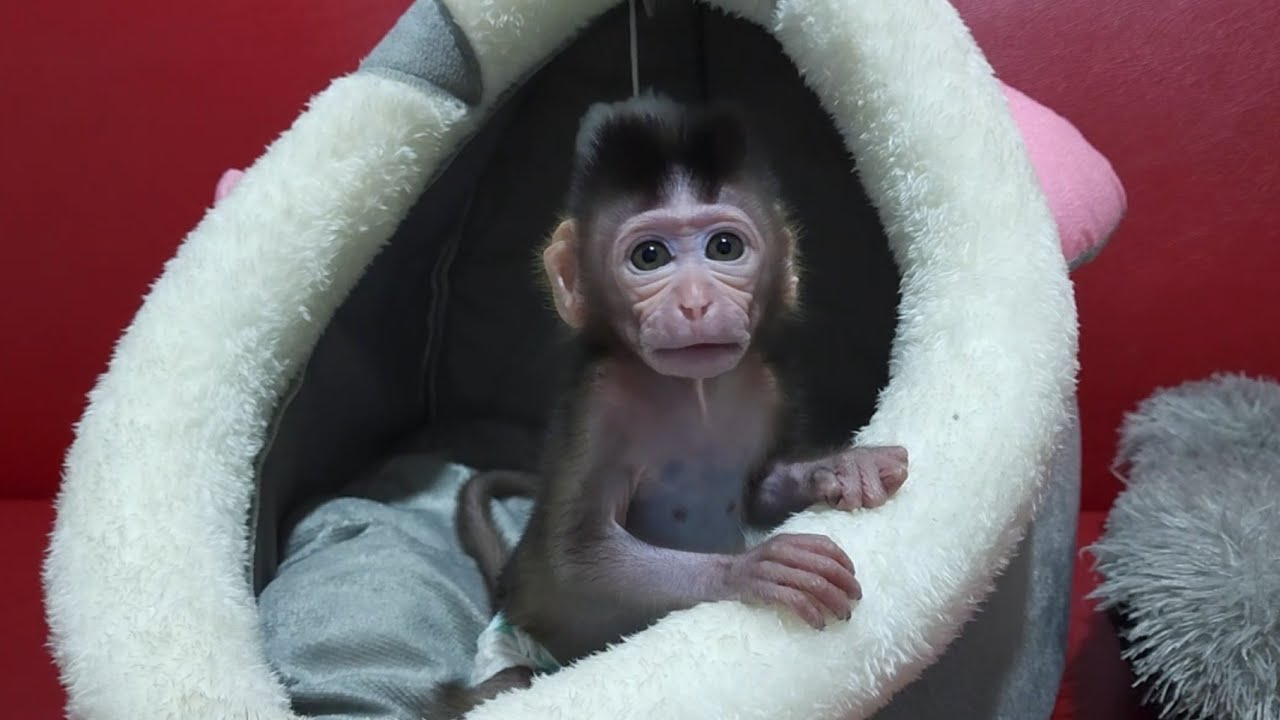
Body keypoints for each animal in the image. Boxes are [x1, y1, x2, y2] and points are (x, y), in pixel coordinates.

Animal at [428, 94, 909, 717]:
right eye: (650, 256)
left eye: (724, 247)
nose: (696, 303)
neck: (693, 393)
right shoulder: (600, 404)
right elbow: (573, 563)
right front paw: (751, 569)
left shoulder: (769, 386)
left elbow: (758, 494)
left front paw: (839, 468)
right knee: (508, 680)